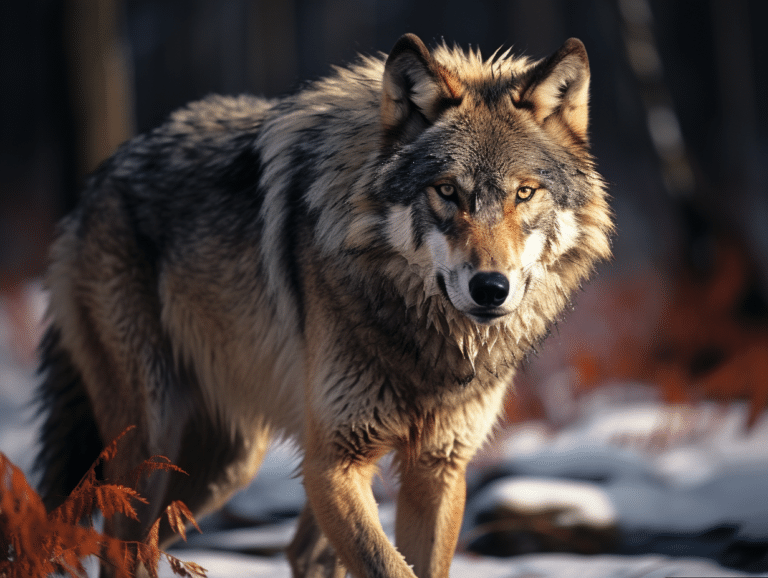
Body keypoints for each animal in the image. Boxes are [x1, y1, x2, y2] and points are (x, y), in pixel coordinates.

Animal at [35, 33, 613, 578]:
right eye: (447, 191)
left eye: (524, 192)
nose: (490, 288)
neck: (421, 344)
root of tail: (93, 187)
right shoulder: (332, 462)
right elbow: (388, 566)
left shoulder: (438, 468)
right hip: (156, 447)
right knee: (118, 552)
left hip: (223, 466)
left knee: (286, 552)